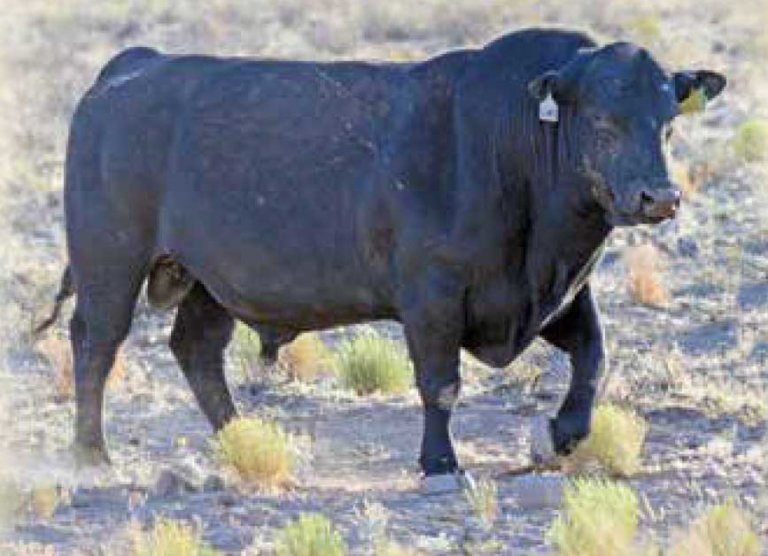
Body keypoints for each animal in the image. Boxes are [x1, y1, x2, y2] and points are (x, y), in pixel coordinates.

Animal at [38, 28, 725, 491]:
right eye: (604, 121)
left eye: (668, 121)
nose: (660, 198)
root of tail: (136, 65)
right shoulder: (433, 297)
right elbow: (440, 384)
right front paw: (441, 465)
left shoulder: (555, 297)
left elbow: (594, 361)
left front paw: (555, 439)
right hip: (110, 263)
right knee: (95, 345)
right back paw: (92, 455)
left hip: (209, 281)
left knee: (197, 351)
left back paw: (242, 437)